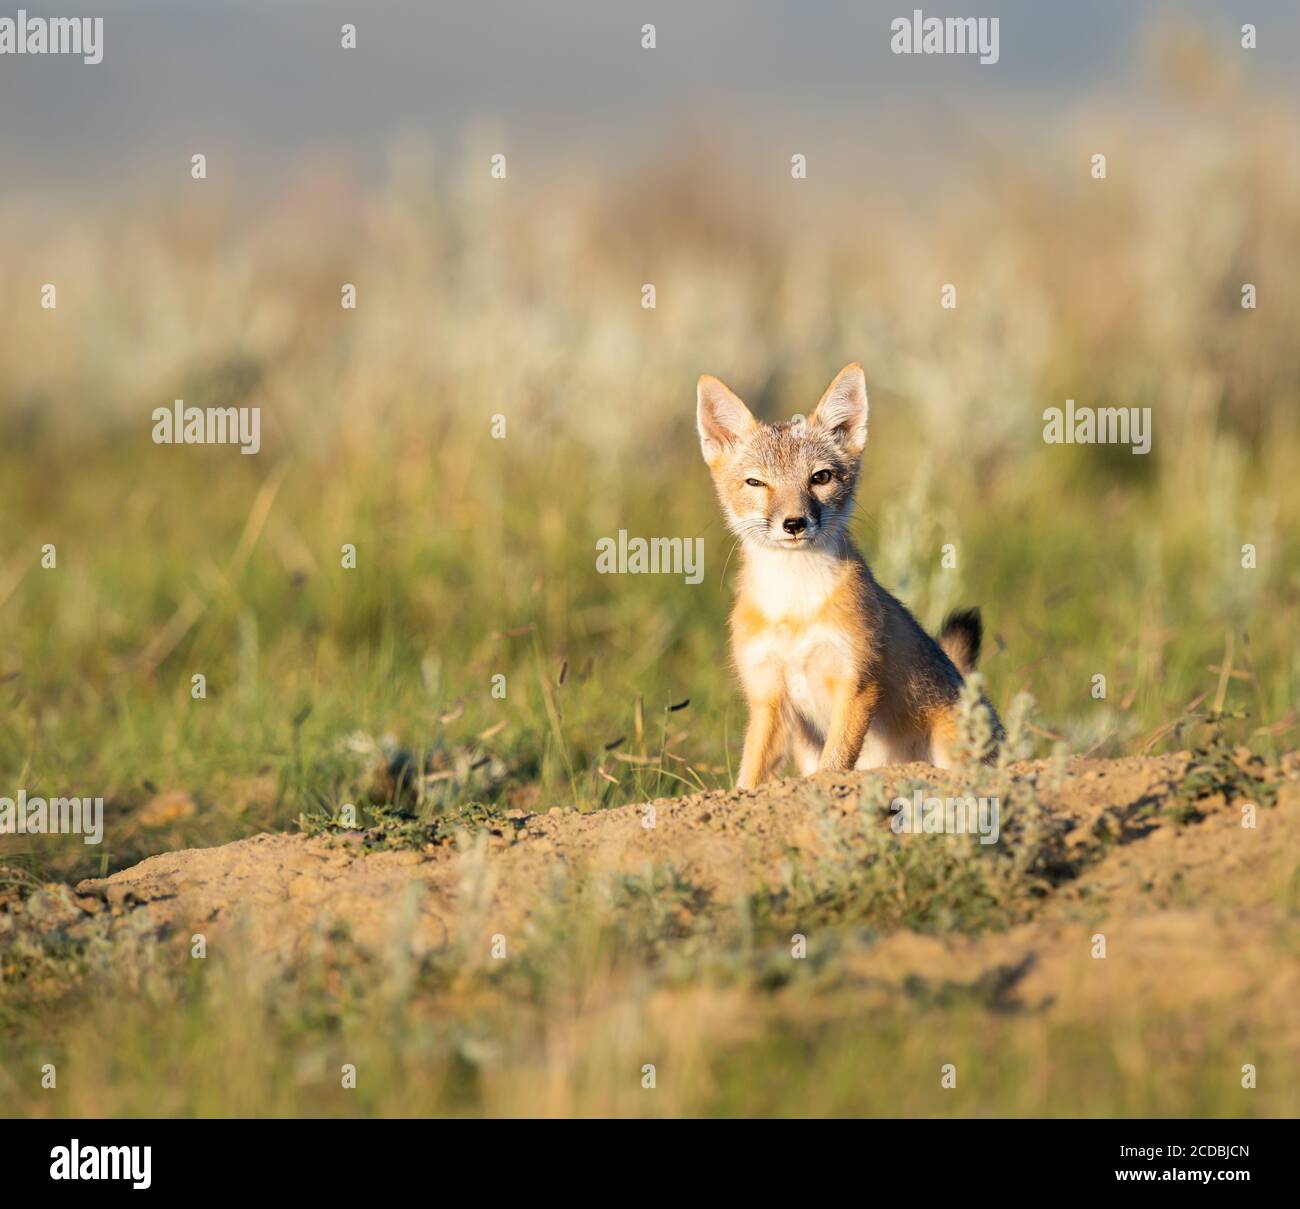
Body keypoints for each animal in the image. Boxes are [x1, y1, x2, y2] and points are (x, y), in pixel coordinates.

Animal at [697, 362, 1002, 789]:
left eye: (820, 478)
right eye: (756, 483)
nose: (794, 523)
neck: (795, 608)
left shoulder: (856, 682)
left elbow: (835, 764)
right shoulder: (768, 696)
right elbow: (749, 777)